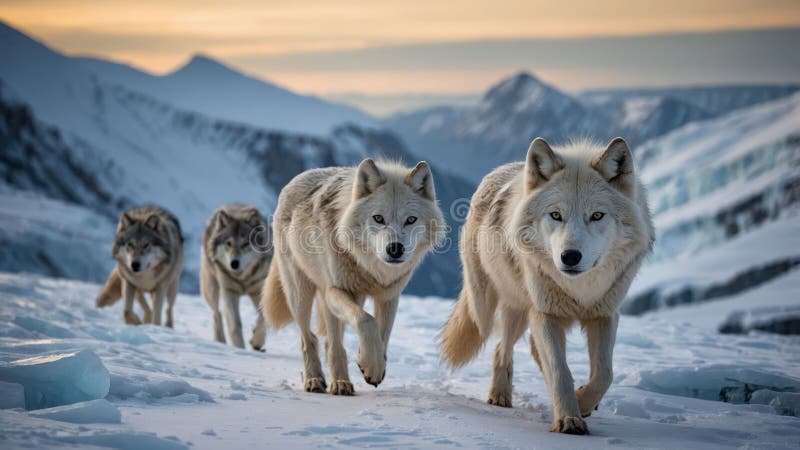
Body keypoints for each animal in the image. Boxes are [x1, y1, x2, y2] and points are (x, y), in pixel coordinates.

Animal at [200, 205, 272, 350]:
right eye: (228, 243)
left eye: (245, 244)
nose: (234, 263)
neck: (243, 278)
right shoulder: (229, 291)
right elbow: (235, 324)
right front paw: (239, 348)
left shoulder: (260, 291)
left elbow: (264, 317)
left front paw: (256, 342)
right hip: (211, 289)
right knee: (217, 314)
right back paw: (220, 341)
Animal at [262, 158, 444, 395]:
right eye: (378, 218)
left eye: (411, 220)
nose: (395, 249)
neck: (370, 269)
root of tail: (295, 180)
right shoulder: (336, 290)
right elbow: (366, 321)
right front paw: (368, 368)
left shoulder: (388, 297)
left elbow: (383, 335)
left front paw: (373, 365)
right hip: (302, 294)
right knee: (310, 339)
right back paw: (319, 381)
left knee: (330, 341)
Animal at [440, 138, 654, 435]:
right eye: (555, 215)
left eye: (597, 215)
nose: (570, 256)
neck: (579, 289)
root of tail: (497, 171)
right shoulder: (545, 314)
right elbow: (559, 371)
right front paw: (568, 418)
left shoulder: (605, 314)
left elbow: (603, 375)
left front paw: (582, 402)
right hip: (499, 308)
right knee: (502, 348)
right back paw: (500, 395)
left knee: (530, 347)